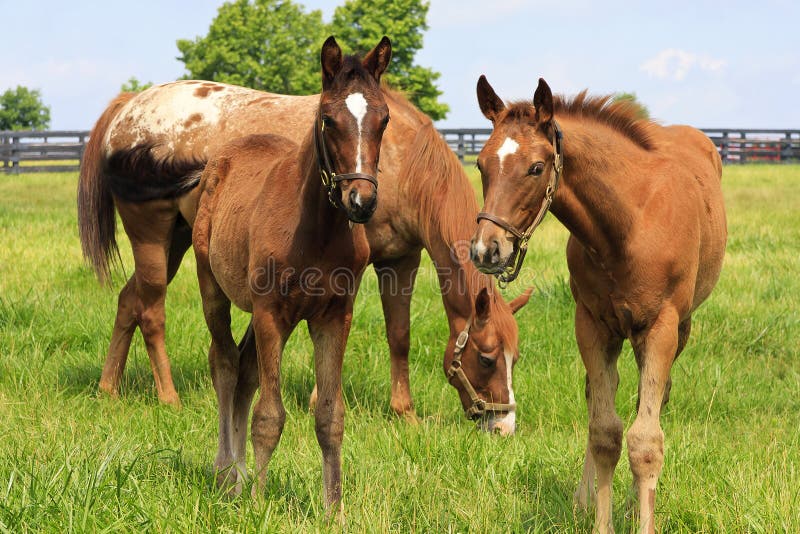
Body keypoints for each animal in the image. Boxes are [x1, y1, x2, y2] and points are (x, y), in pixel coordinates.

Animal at [78, 61, 530, 434]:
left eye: (516, 358)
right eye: (487, 357)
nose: (503, 426)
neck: (402, 161)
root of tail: (127, 106)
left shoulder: (401, 260)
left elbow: (398, 334)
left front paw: (405, 413)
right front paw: (319, 399)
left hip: (178, 238)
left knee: (128, 300)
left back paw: (108, 387)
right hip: (151, 234)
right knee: (151, 311)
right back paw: (169, 397)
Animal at [192, 36, 391, 506]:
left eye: (385, 119)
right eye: (328, 118)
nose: (362, 201)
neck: (316, 229)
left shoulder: (335, 316)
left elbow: (330, 416)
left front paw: (334, 508)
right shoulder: (271, 313)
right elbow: (269, 414)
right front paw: (259, 504)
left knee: (245, 369)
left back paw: (239, 474)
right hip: (213, 288)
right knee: (225, 363)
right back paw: (227, 473)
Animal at [470, 76, 726, 533]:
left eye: (536, 167)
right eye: (482, 164)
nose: (486, 249)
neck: (628, 225)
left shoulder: (659, 327)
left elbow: (646, 438)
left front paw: (641, 516)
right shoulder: (591, 324)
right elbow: (604, 430)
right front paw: (598, 514)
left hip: (679, 329)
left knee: (654, 402)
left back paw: (633, 502)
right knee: (601, 398)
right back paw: (585, 498)